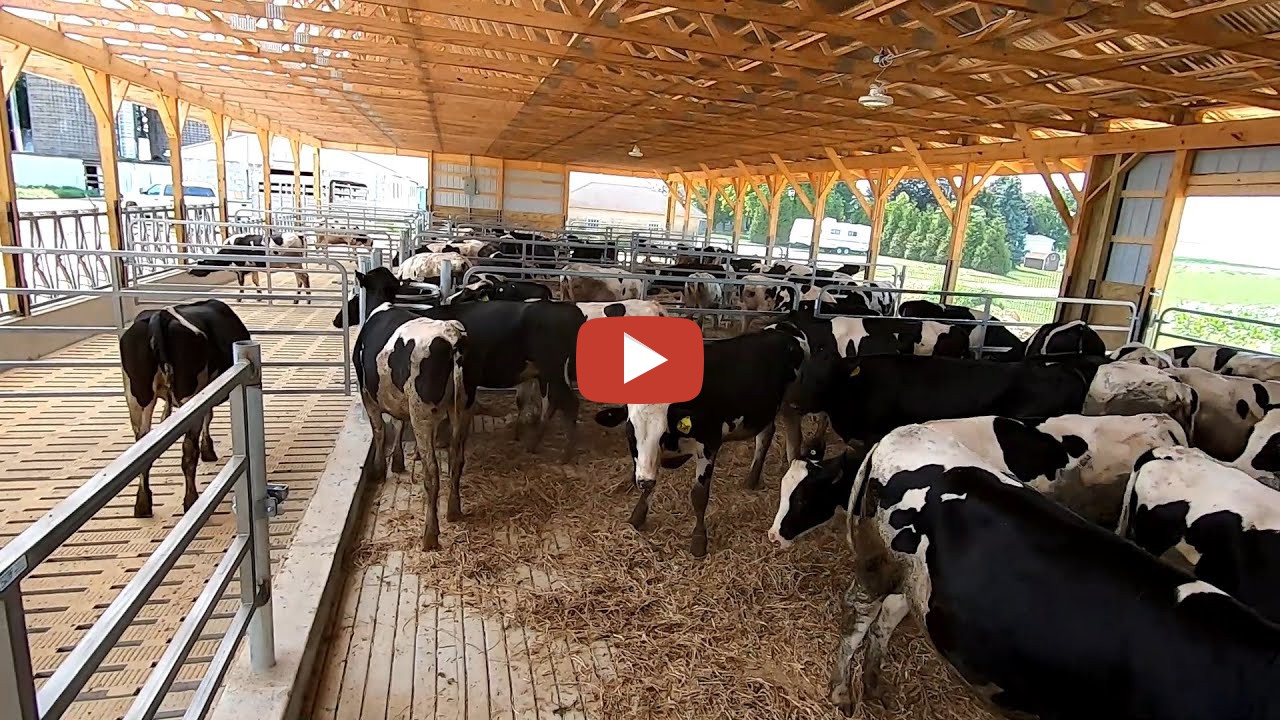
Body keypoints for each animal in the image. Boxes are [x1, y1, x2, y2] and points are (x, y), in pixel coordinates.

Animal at [119, 300, 251, 518]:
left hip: (136, 396)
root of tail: (160, 317)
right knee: (189, 450)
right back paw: (191, 500)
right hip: (190, 395)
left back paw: (142, 504)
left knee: (142, 445)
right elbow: (208, 416)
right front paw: (208, 450)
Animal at [354, 306, 469, 549]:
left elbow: (379, 430)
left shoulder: (368, 396)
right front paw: (398, 461)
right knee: (457, 459)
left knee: (432, 472)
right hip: (462, 408)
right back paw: (453, 510)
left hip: (421, 412)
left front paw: (379, 469)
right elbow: (398, 423)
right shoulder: (400, 401)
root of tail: (451, 336)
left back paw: (430, 535)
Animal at [594, 323, 809, 556]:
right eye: (630, 433)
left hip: (792, 402)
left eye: (662, 432)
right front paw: (637, 516)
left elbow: (699, 495)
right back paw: (752, 478)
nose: (644, 481)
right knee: (765, 435)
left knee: (794, 436)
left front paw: (698, 540)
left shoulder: (709, 445)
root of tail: (784, 327)